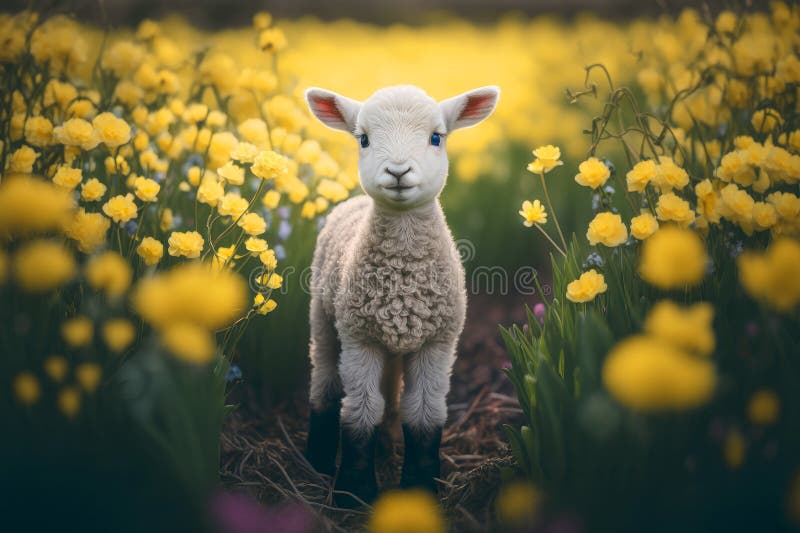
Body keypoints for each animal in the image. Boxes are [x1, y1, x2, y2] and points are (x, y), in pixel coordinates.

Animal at [304, 84, 499, 507]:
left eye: (437, 137)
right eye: (363, 139)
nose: (396, 172)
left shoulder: (438, 341)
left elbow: (423, 412)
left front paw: (419, 486)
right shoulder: (359, 337)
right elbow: (360, 410)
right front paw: (354, 491)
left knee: (391, 396)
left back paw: (387, 442)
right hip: (325, 320)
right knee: (325, 382)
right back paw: (318, 459)